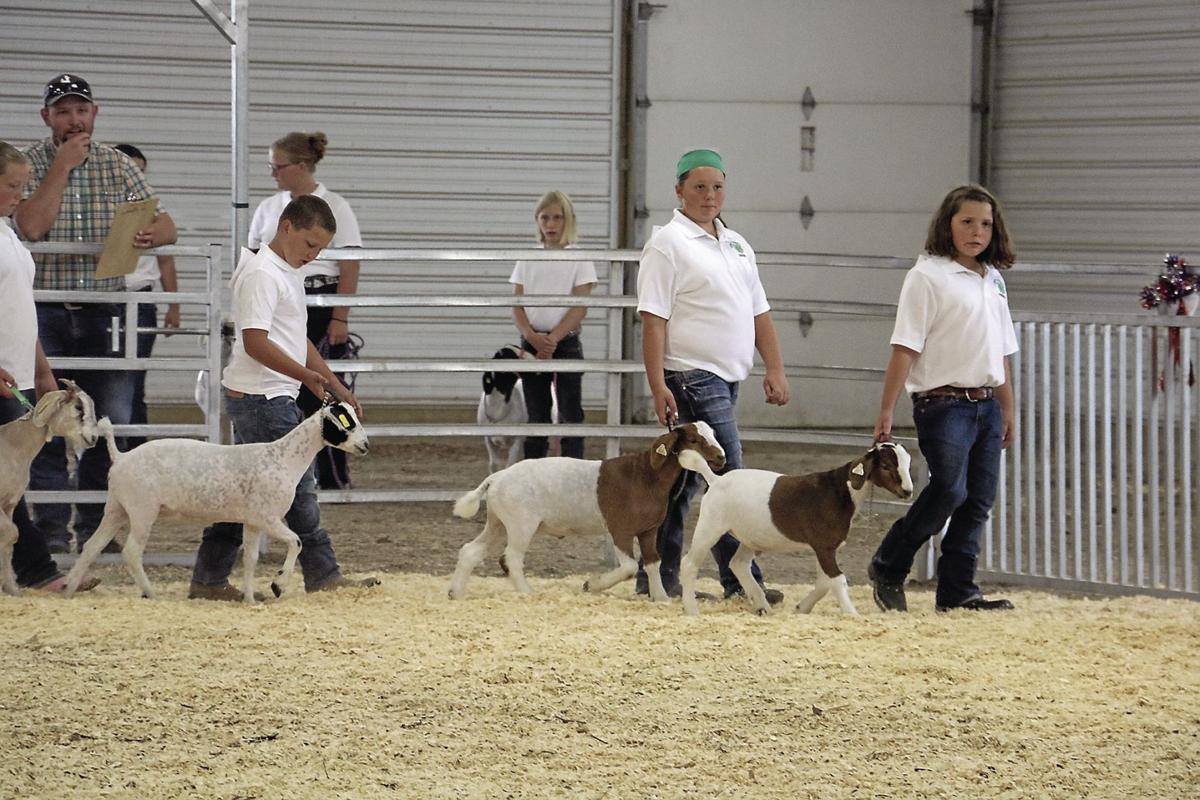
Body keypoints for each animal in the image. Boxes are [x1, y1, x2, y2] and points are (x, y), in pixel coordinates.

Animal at [0, 381, 99, 595]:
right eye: (78, 408)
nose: (94, 438)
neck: (13, 444)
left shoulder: (10, 503)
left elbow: (9, 540)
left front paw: (11, 588)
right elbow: (12, 533)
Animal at [64, 400, 369, 603]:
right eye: (345, 421)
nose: (365, 445)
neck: (283, 458)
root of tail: (121, 458)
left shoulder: (252, 521)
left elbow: (250, 559)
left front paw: (250, 599)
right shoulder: (267, 517)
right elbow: (296, 542)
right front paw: (278, 584)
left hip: (117, 508)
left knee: (92, 546)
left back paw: (69, 588)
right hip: (142, 511)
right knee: (131, 552)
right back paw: (149, 592)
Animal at [449, 422, 726, 601]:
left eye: (712, 433)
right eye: (694, 440)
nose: (721, 458)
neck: (645, 476)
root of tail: (496, 478)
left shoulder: (649, 530)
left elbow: (652, 563)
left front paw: (661, 598)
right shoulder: (620, 529)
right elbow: (629, 566)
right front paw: (590, 585)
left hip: (498, 521)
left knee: (471, 551)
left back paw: (455, 592)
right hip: (520, 523)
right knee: (511, 558)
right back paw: (527, 592)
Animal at [680, 442, 913, 617]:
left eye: (907, 464)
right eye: (885, 465)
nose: (908, 491)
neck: (841, 492)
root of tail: (715, 479)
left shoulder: (825, 547)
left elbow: (825, 582)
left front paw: (802, 608)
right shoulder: (824, 545)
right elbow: (837, 580)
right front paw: (852, 614)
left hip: (752, 536)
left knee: (738, 564)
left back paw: (763, 606)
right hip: (710, 525)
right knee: (689, 564)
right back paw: (692, 610)